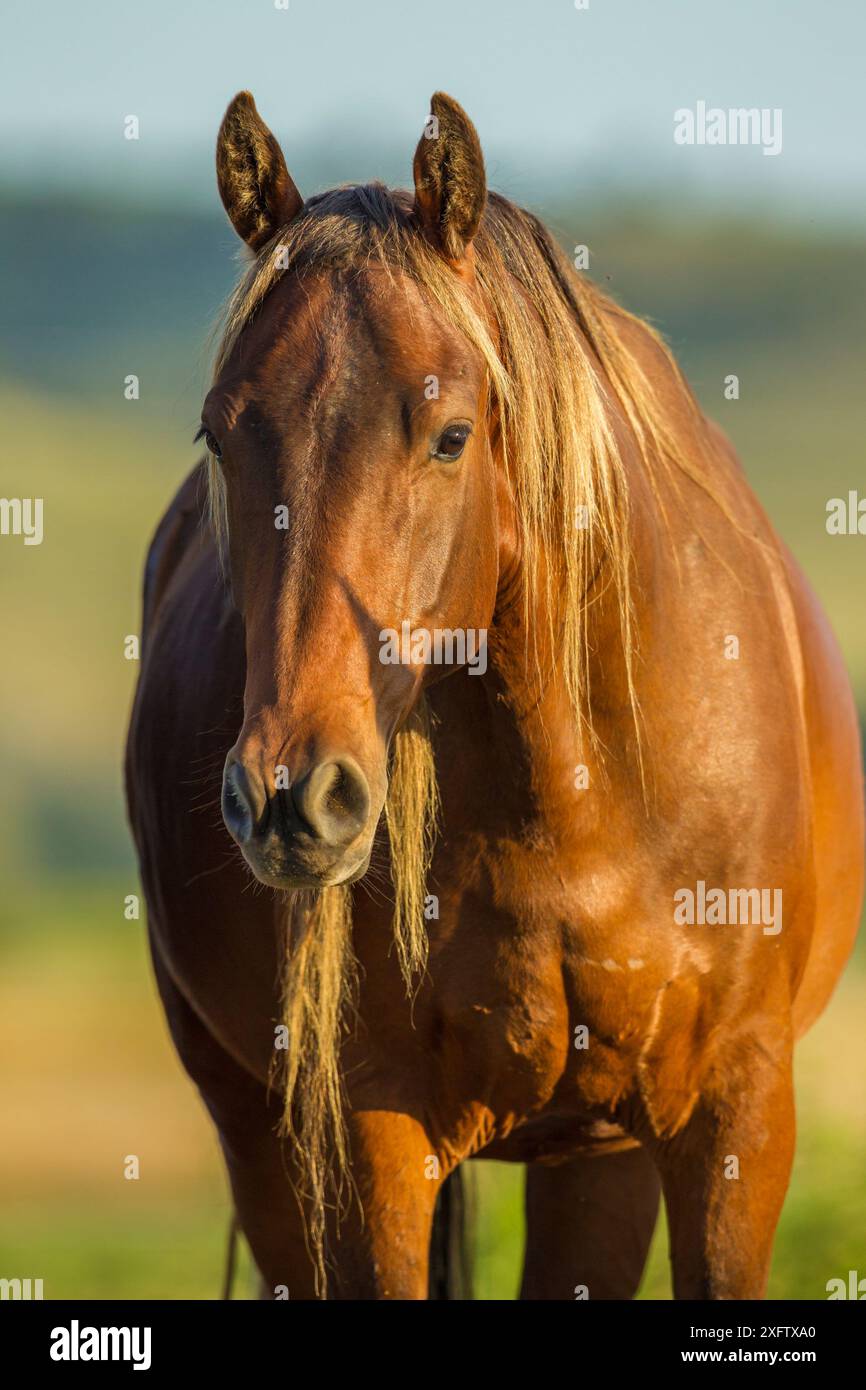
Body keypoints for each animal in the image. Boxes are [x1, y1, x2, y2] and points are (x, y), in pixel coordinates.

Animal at [125, 90, 864, 1300]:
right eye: (219, 435)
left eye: (452, 435)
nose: (290, 797)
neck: (576, 798)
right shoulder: (371, 1136)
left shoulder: (735, 1115)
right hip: (257, 1131)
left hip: (598, 1155)